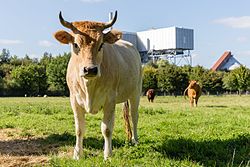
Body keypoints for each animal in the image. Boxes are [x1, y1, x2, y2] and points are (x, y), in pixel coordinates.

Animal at [53, 11, 142, 160]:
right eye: (75, 44)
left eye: (101, 45)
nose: (90, 69)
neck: (89, 86)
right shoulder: (74, 100)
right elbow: (79, 129)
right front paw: (77, 154)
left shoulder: (110, 100)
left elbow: (106, 129)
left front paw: (108, 155)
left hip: (136, 93)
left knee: (134, 116)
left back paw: (134, 140)